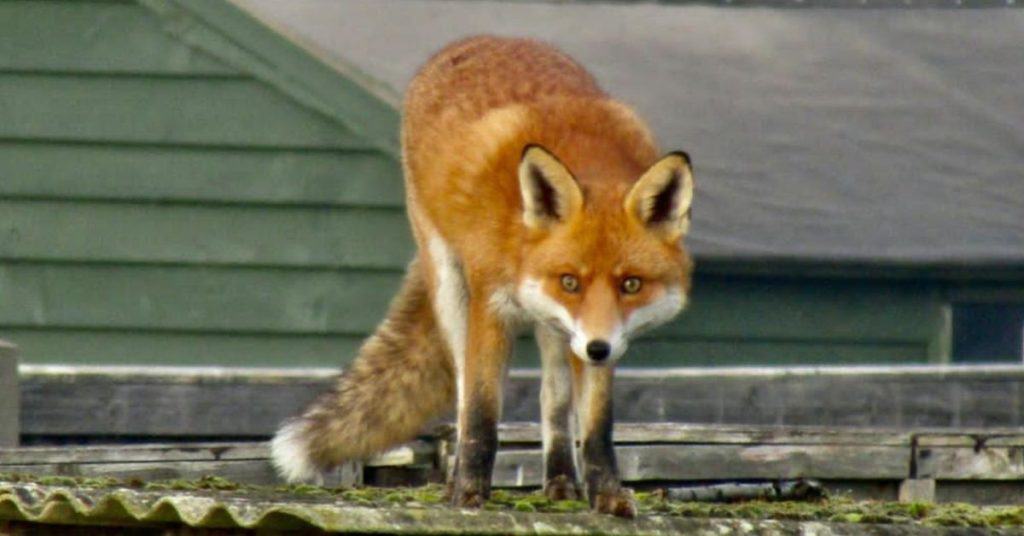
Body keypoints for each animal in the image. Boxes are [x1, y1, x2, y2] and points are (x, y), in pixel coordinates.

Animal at [271, 35, 695, 517]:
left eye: (631, 285)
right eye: (571, 281)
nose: (598, 348)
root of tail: (479, 41)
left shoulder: (590, 336)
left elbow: (596, 429)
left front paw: (606, 494)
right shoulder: (490, 305)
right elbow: (480, 414)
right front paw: (469, 493)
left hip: (555, 330)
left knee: (554, 400)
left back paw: (561, 481)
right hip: (451, 287)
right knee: (460, 396)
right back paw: (457, 478)